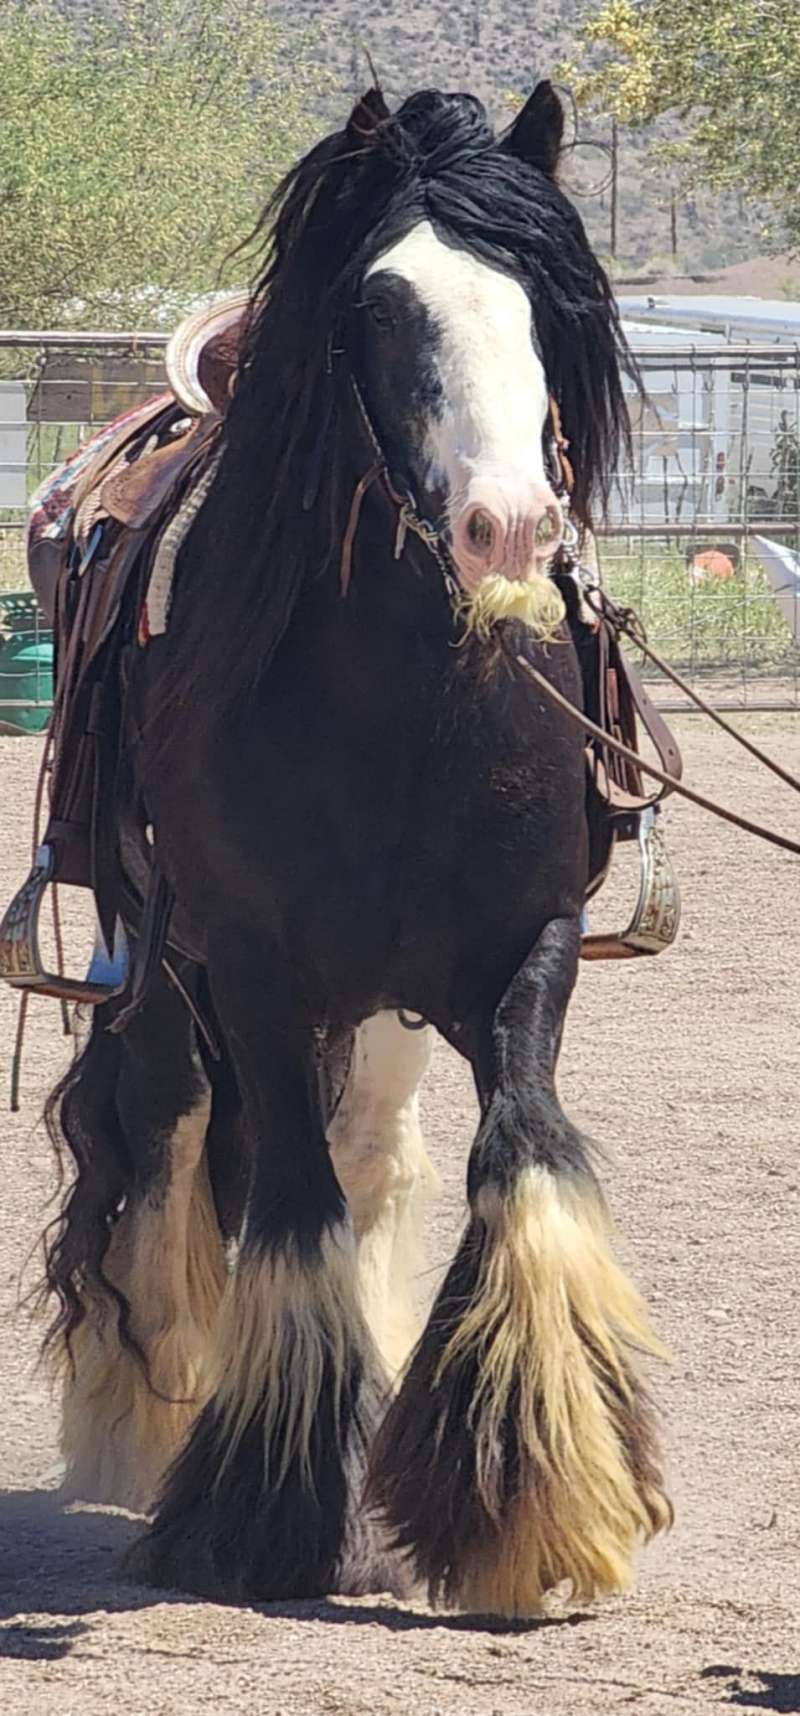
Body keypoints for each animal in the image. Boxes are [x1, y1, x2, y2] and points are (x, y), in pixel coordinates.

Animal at [41, 80, 671, 1617]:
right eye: (383, 309)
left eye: (545, 302)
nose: (510, 527)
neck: (402, 703)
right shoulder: (253, 968)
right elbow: (287, 1196)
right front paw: (255, 1514)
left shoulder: (525, 950)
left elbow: (517, 1151)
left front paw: (522, 1501)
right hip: (164, 974)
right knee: (180, 1138)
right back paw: (150, 1425)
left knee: (369, 1151)